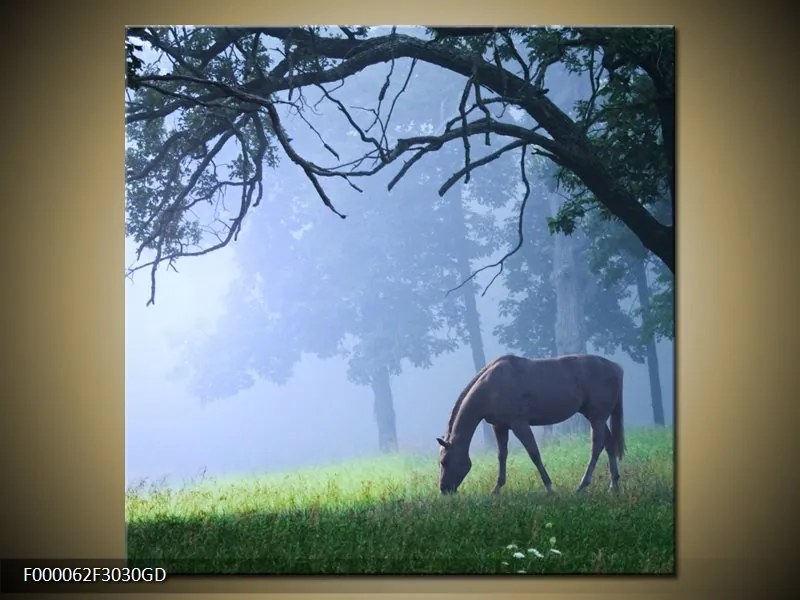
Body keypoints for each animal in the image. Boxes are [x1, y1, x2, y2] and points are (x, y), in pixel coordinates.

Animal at [438, 354, 624, 494]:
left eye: (444, 462)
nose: (444, 489)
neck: (492, 386)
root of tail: (615, 367)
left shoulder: (519, 424)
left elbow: (534, 454)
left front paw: (550, 488)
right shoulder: (500, 427)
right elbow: (502, 456)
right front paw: (497, 488)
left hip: (597, 418)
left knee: (596, 448)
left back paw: (582, 485)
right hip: (595, 417)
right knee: (609, 445)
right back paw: (613, 485)